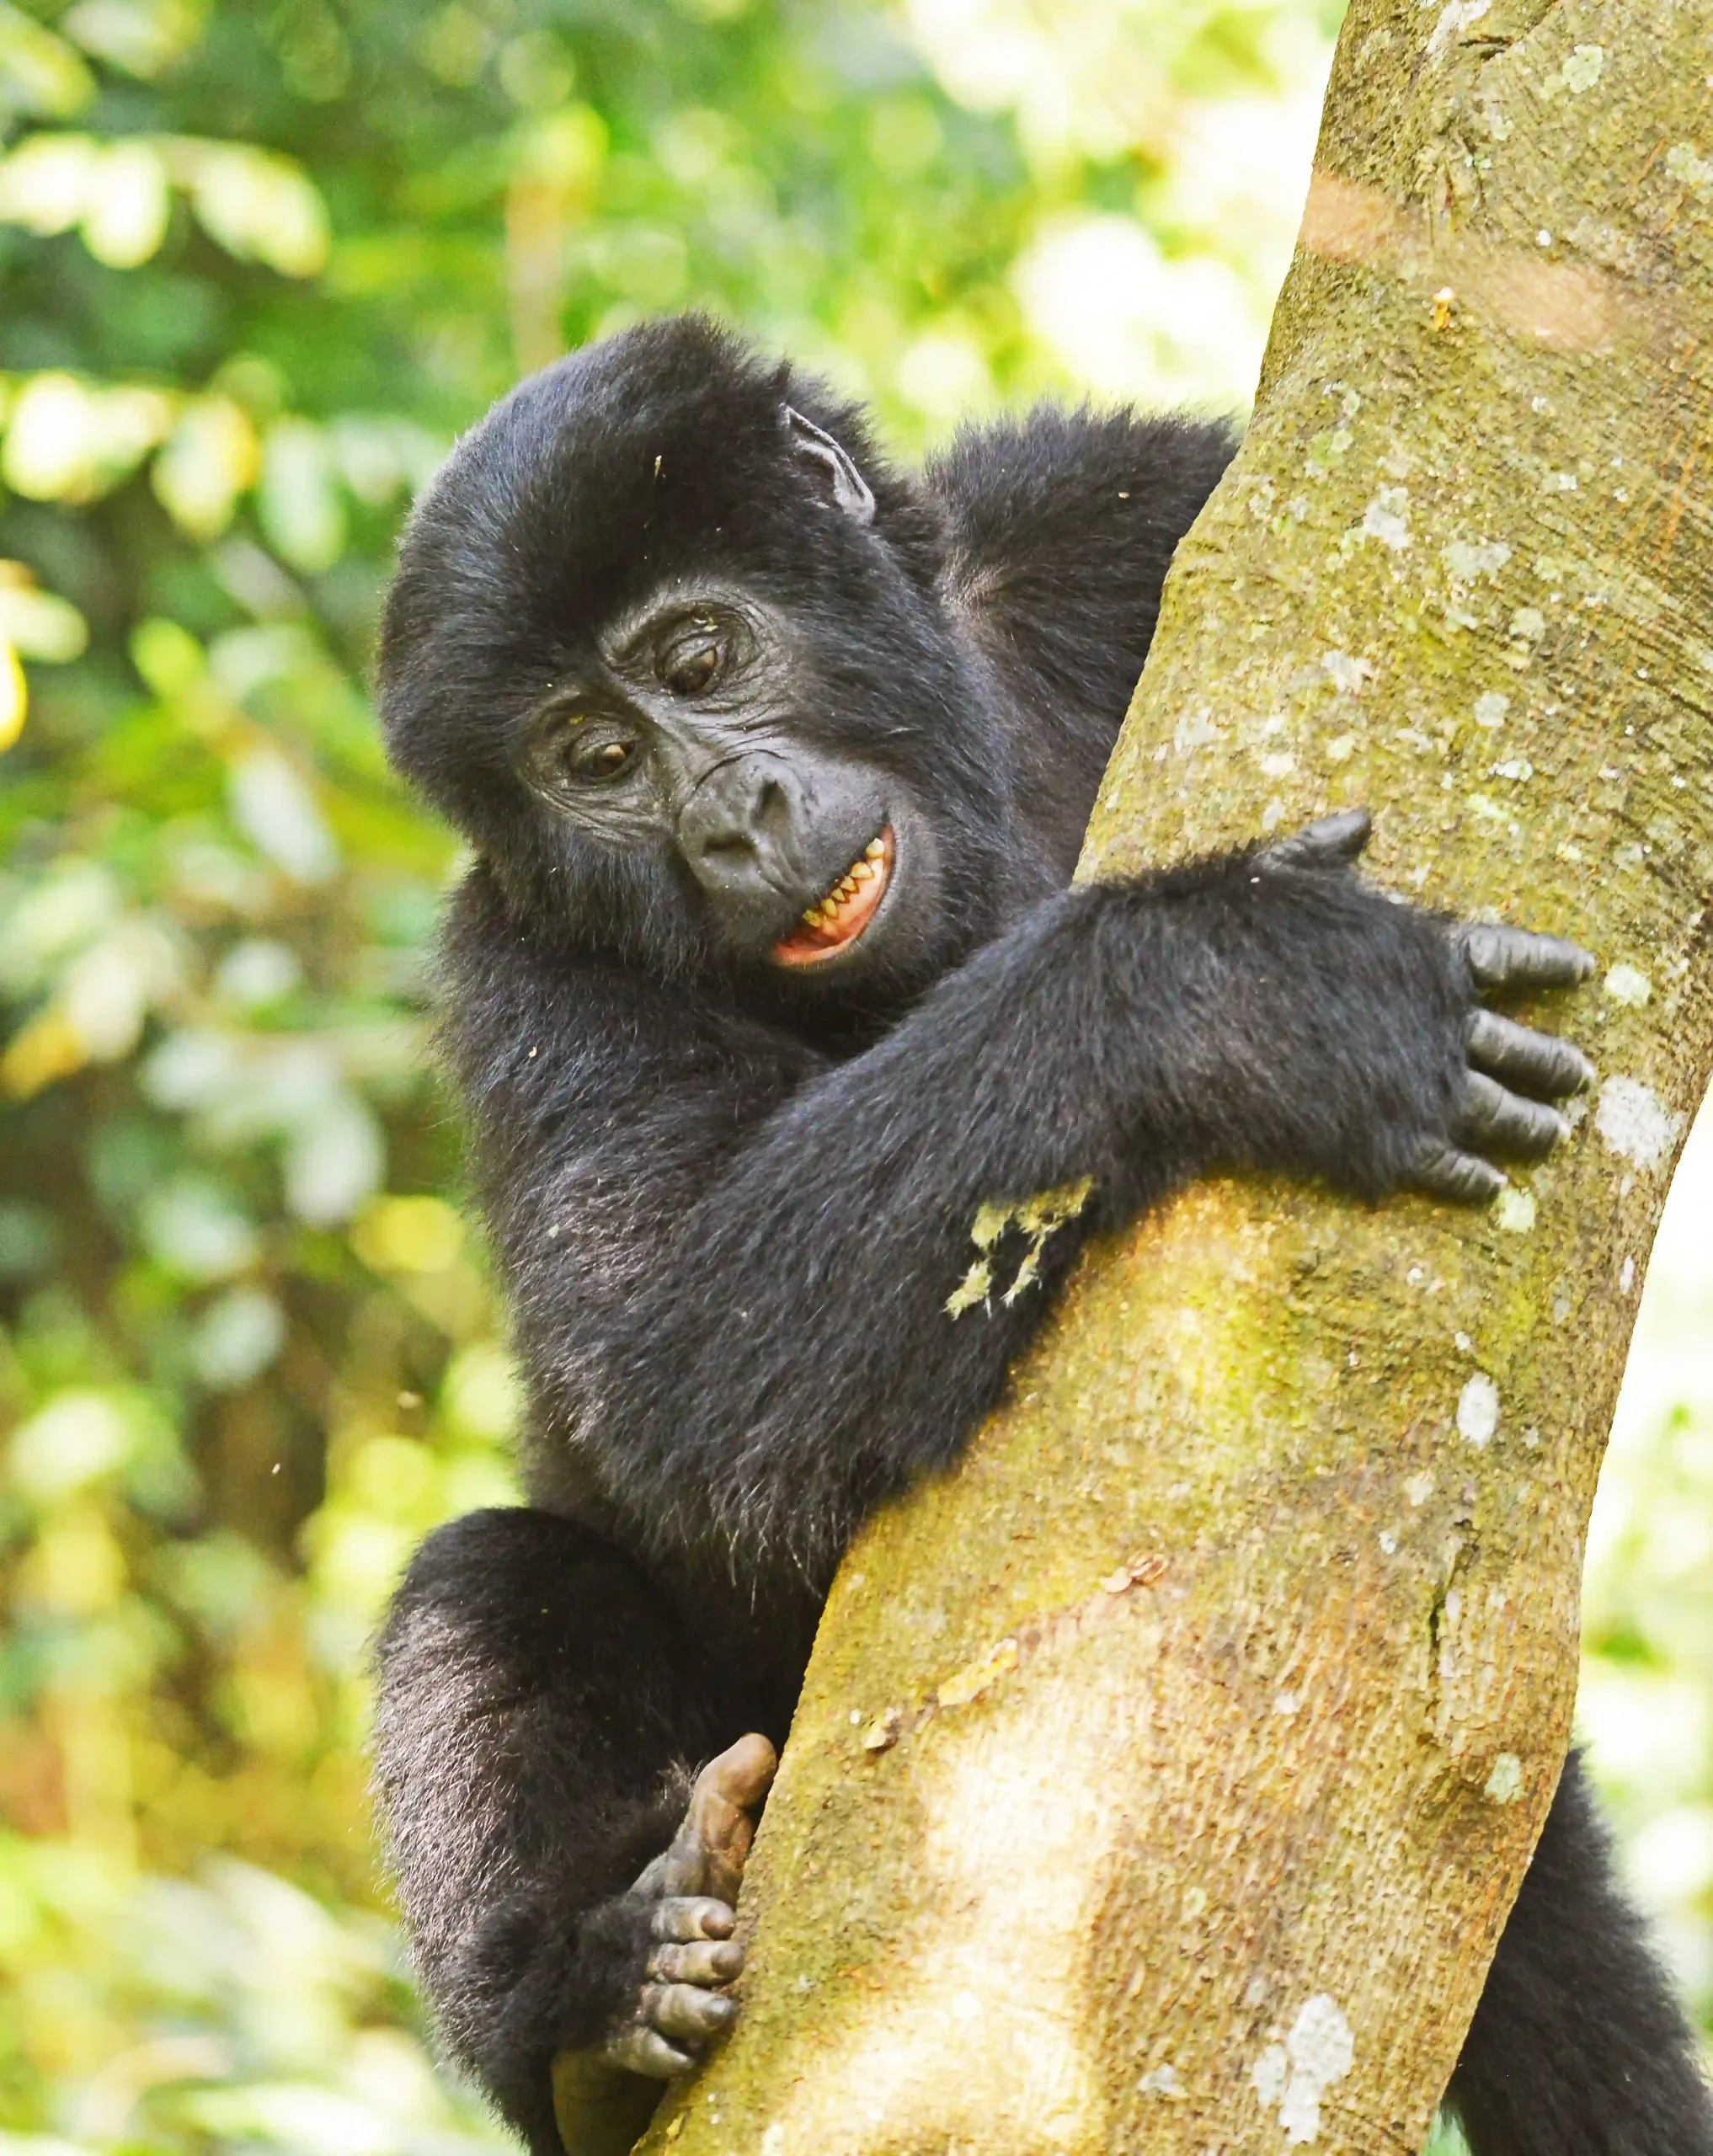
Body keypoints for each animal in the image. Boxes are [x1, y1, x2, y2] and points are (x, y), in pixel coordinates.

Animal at [372, 314, 1713, 2156]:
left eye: (698, 659)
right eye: (592, 760)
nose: (725, 815)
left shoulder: (1113, 500)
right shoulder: (529, 971)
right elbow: (677, 1367)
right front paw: (1239, 988)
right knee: (487, 1575)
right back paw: (595, 1998)